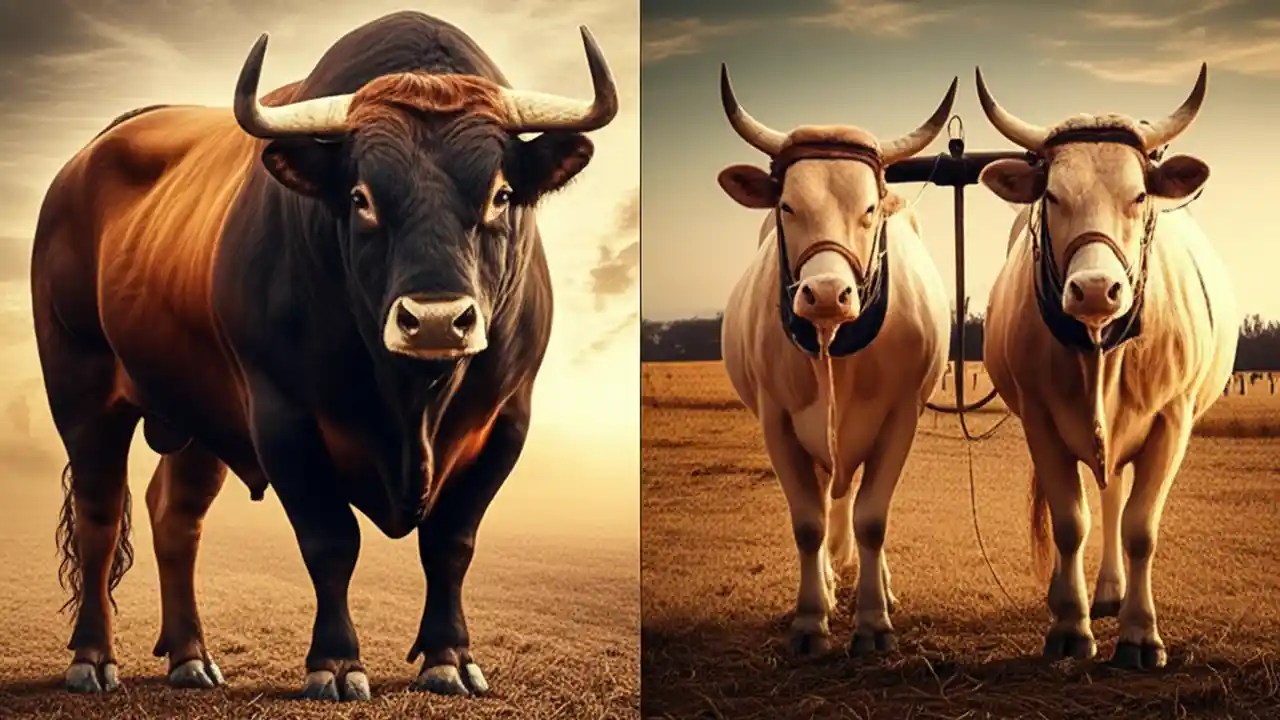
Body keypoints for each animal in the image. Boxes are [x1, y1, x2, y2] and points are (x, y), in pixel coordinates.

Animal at [32, 11, 617, 699]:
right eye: (361, 197)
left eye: (501, 194)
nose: (436, 320)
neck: (412, 401)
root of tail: (83, 162)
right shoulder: (282, 419)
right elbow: (331, 541)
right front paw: (335, 663)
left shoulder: (506, 419)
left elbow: (451, 543)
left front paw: (450, 657)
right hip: (81, 388)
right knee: (98, 516)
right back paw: (93, 659)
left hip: (200, 413)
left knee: (176, 516)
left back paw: (190, 657)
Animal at [715, 65, 955, 656]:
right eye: (787, 206)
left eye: (868, 209)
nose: (826, 294)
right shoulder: (777, 422)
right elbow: (808, 522)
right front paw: (809, 617)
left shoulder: (899, 419)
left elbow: (872, 519)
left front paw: (872, 619)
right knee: (827, 501)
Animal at [974, 64, 1236, 669]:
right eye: (1052, 195)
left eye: (1138, 195)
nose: (1096, 289)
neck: (1098, 352)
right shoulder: (1041, 423)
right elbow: (1071, 522)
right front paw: (1070, 627)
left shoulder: (1172, 423)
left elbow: (1141, 528)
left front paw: (1140, 634)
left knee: (1116, 499)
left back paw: (1115, 593)